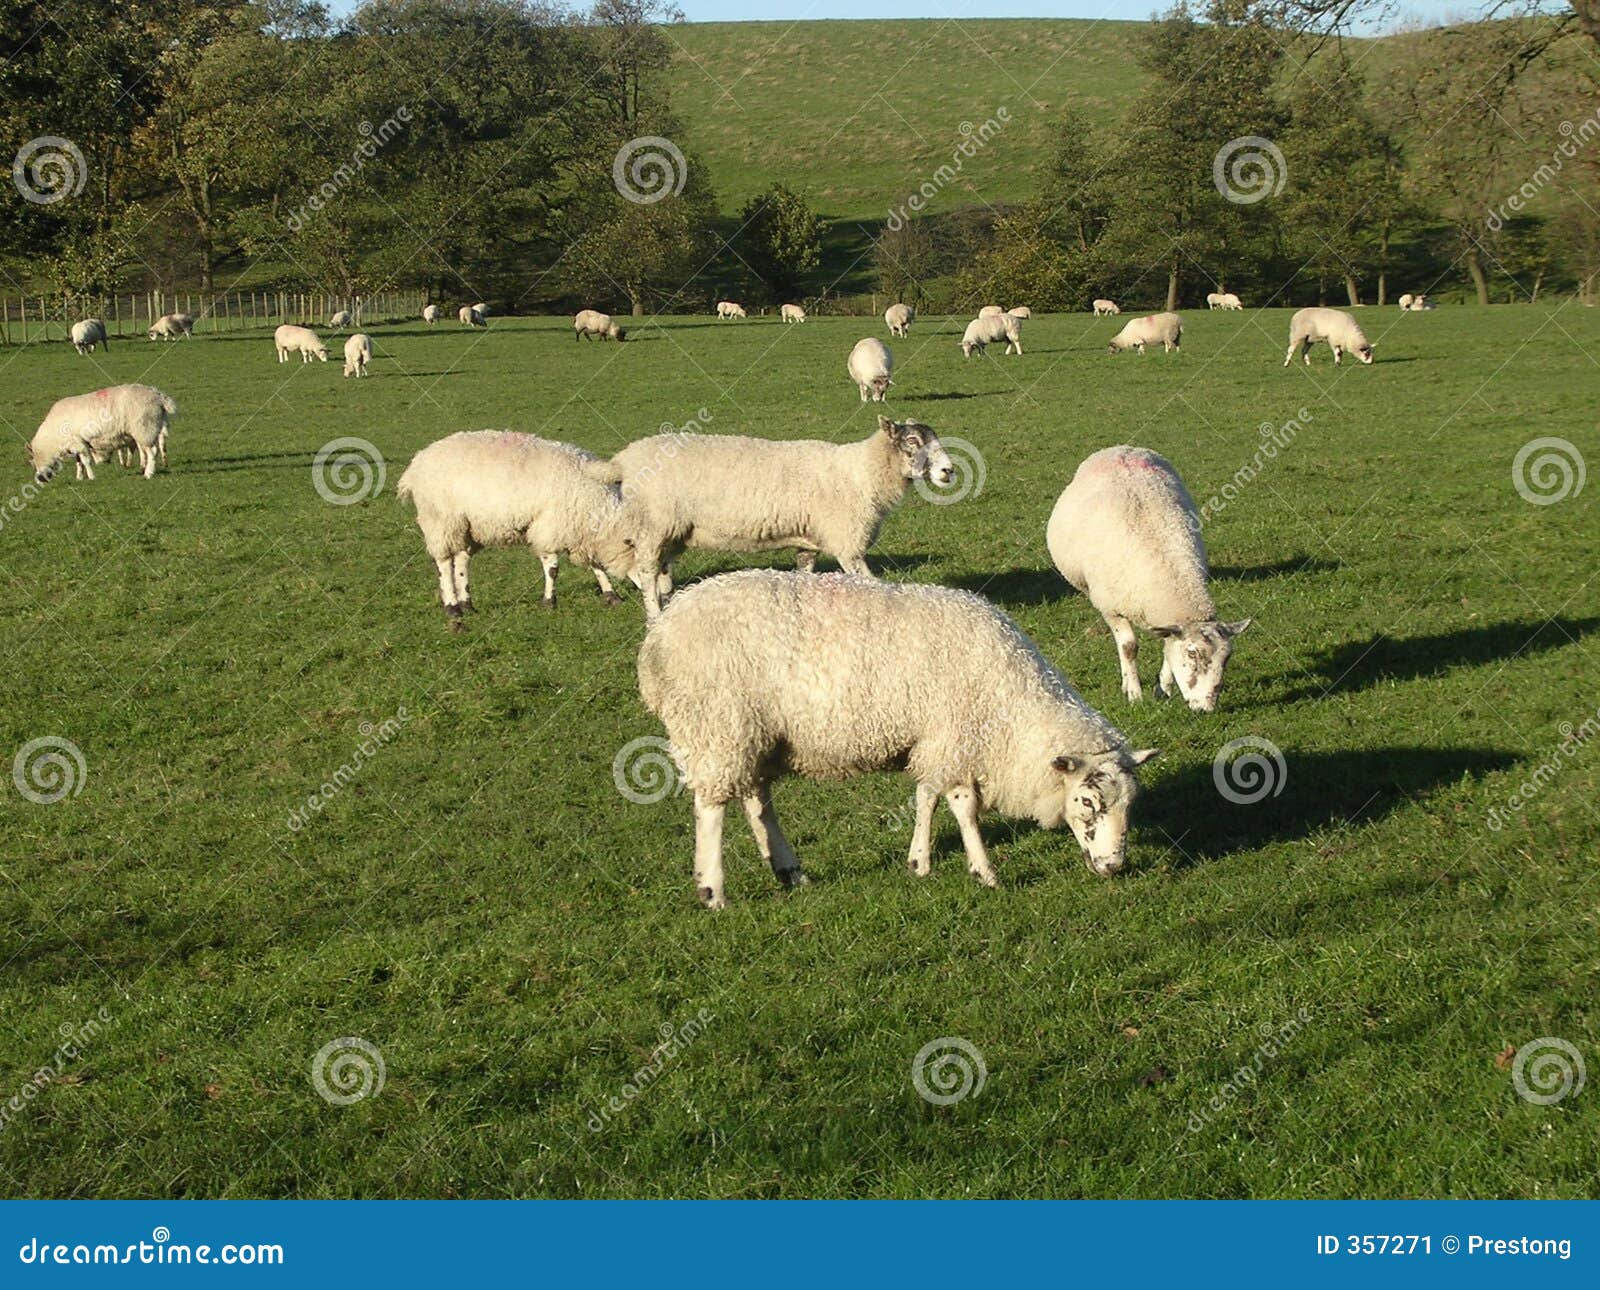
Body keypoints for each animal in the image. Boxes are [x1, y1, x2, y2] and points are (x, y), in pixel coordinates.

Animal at [27, 384, 175, 482]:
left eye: (32, 463)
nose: (39, 480)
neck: (52, 440)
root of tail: (159, 396)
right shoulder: (78, 444)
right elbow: (79, 462)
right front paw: (79, 477)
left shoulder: (78, 443)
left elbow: (85, 461)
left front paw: (91, 477)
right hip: (154, 427)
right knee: (157, 447)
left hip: (144, 429)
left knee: (152, 451)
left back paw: (148, 473)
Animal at [396, 431, 638, 628]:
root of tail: (416, 464)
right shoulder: (549, 527)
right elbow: (553, 568)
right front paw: (549, 602)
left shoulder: (579, 533)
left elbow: (596, 565)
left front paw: (611, 596)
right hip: (441, 520)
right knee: (444, 564)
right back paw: (453, 608)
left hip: (468, 527)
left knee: (462, 561)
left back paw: (468, 604)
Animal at [611, 415, 957, 621]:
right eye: (912, 441)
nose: (948, 471)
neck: (863, 474)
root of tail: (624, 459)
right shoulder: (848, 544)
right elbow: (869, 583)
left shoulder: (811, 542)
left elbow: (804, 575)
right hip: (652, 526)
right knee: (646, 573)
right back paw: (654, 617)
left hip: (673, 532)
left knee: (660, 573)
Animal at [637, 569, 1161, 907]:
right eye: (1088, 803)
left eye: (1131, 806)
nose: (1115, 868)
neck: (1013, 701)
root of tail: (659, 635)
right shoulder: (955, 735)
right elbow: (964, 808)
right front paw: (984, 871)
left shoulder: (935, 740)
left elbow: (926, 795)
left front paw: (918, 863)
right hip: (717, 724)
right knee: (711, 807)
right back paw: (713, 891)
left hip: (753, 733)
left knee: (755, 798)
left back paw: (790, 871)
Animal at [1047, 446, 1251, 712]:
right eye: (1192, 654)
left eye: (1226, 659)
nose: (1205, 709)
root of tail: (1122, 447)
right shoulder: (1111, 607)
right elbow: (1128, 648)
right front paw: (1134, 694)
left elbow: (1166, 650)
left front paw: (1162, 689)